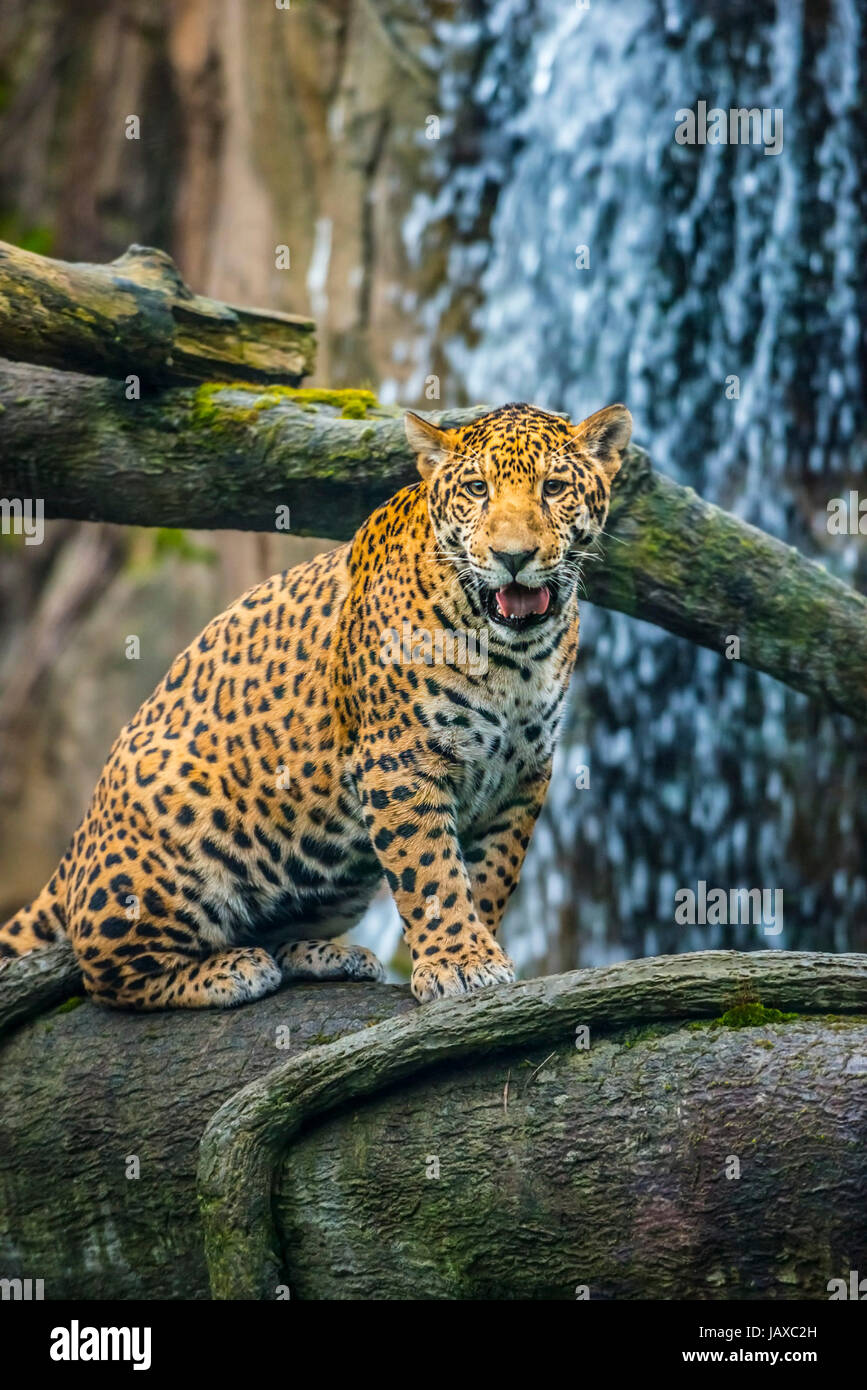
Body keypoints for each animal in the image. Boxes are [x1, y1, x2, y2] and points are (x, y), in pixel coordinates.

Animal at [0, 400, 631, 1008]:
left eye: (554, 487)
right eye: (477, 489)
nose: (512, 556)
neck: (516, 655)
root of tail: (77, 843)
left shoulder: (524, 774)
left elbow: (492, 873)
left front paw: (479, 947)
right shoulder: (401, 762)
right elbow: (430, 872)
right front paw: (459, 961)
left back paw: (324, 956)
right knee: (103, 973)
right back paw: (231, 971)